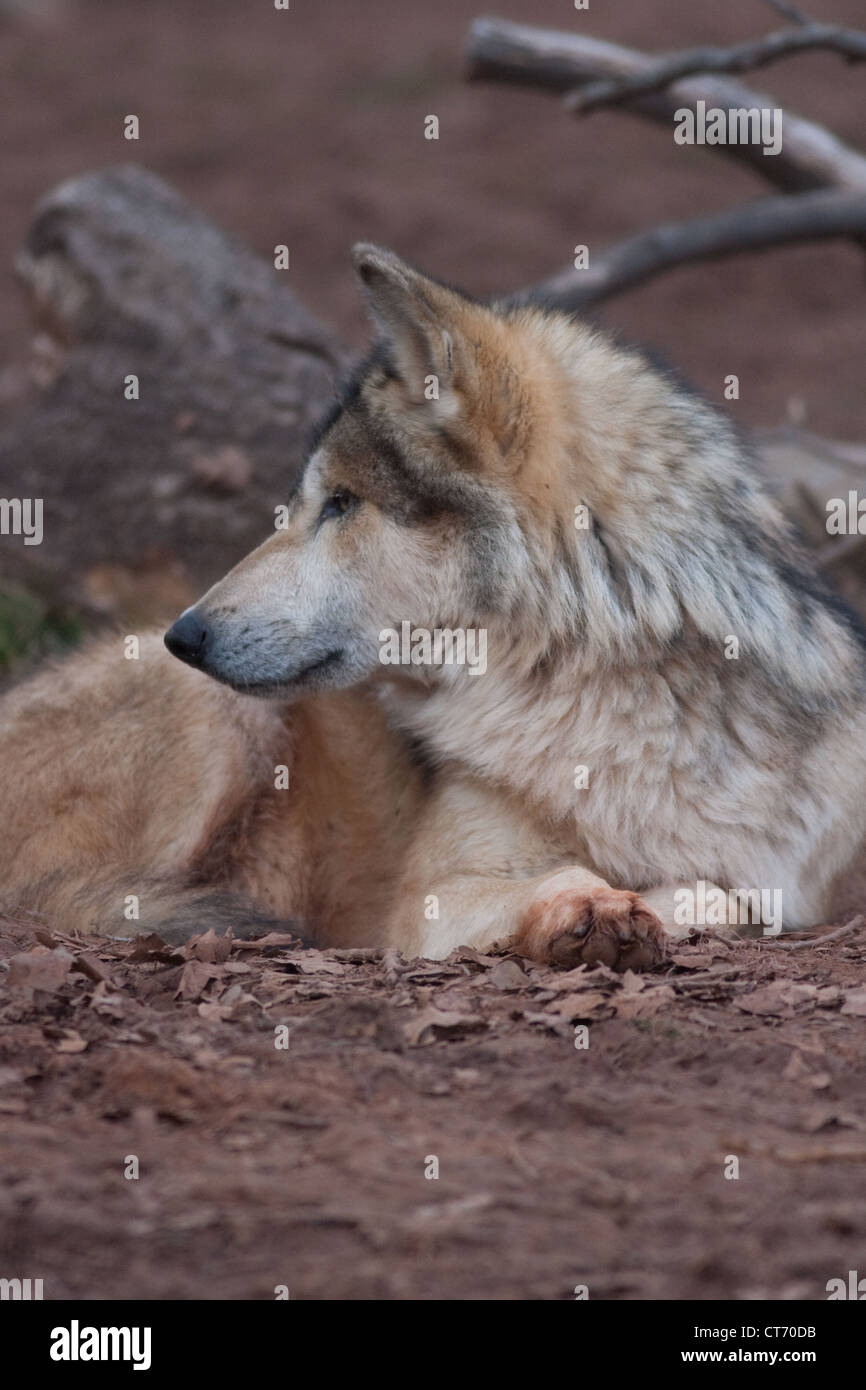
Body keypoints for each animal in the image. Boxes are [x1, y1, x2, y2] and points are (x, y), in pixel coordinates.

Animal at [2, 243, 865, 970]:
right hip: (224, 721)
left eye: (341, 503)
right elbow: (583, 879)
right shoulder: (428, 902)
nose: (186, 635)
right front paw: (591, 910)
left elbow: (726, 895)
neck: (622, 704)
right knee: (54, 900)